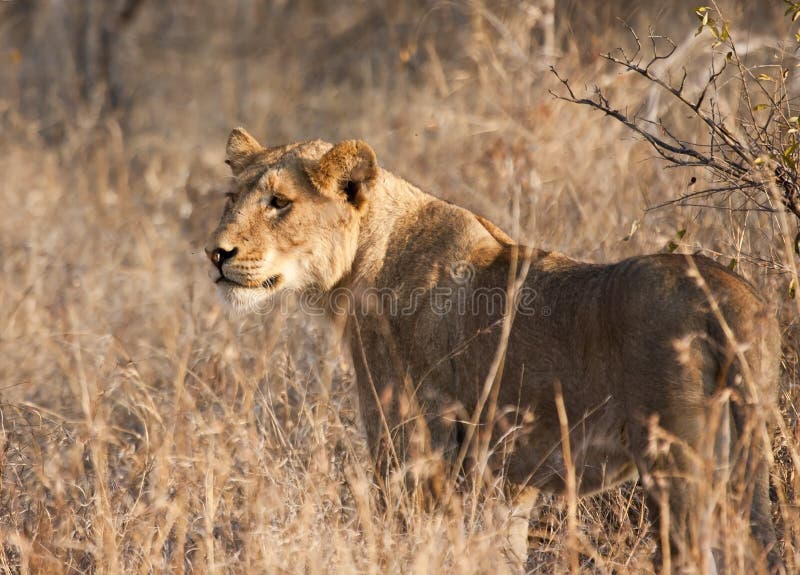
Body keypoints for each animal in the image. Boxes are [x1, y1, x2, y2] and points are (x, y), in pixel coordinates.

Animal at [206, 128, 782, 572]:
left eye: (280, 203)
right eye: (230, 199)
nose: (215, 253)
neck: (364, 257)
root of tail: (727, 295)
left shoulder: (410, 449)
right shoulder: (508, 478)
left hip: (675, 468)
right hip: (748, 462)